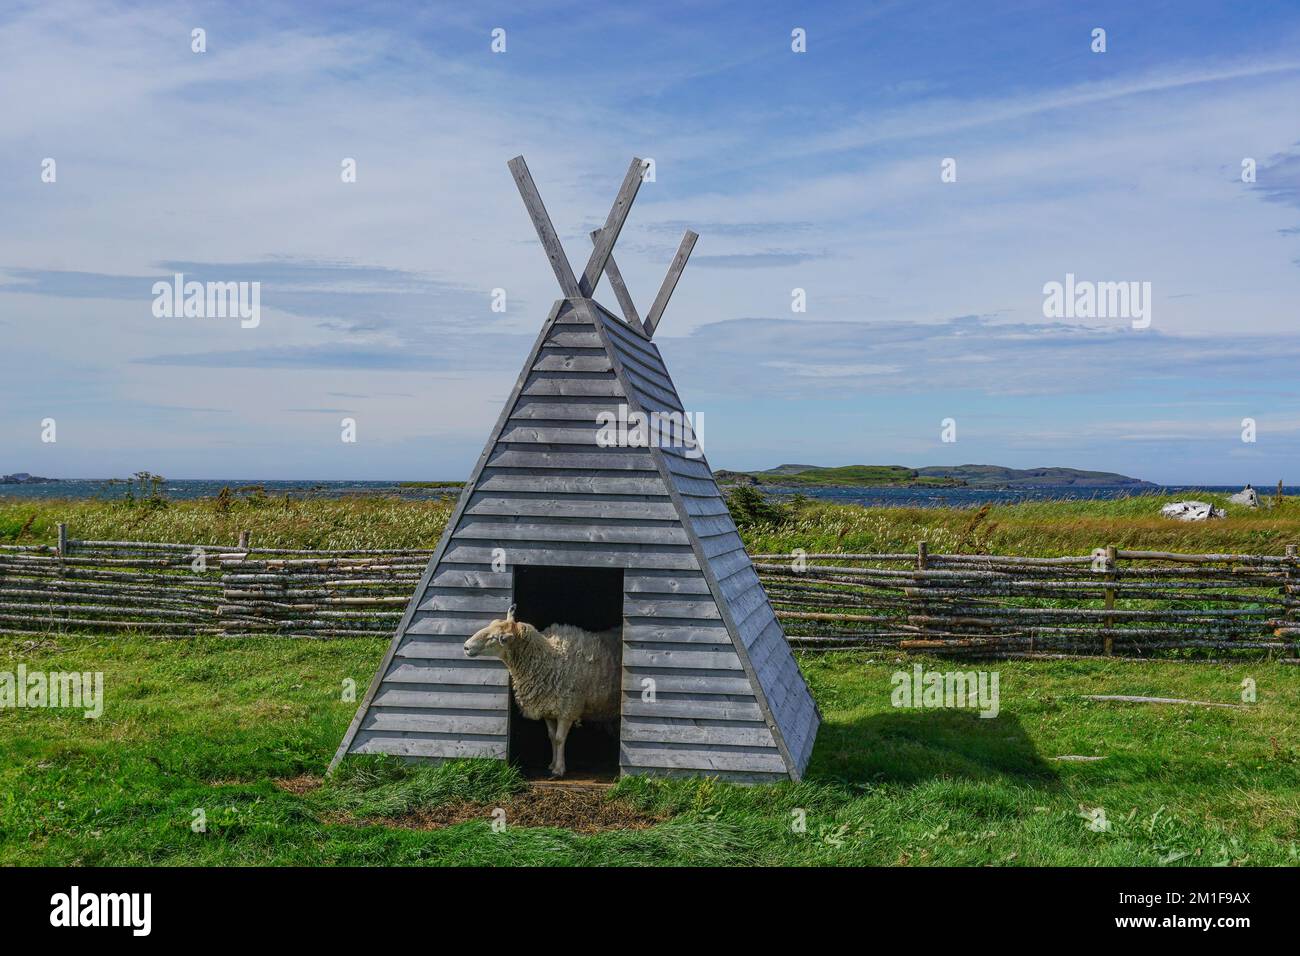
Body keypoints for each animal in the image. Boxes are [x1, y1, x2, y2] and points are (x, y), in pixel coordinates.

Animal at [463, 605, 620, 778]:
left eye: (496, 637)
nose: (466, 647)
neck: (550, 659)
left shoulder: (568, 709)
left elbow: (559, 739)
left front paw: (559, 769)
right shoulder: (548, 708)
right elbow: (551, 737)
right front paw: (552, 764)